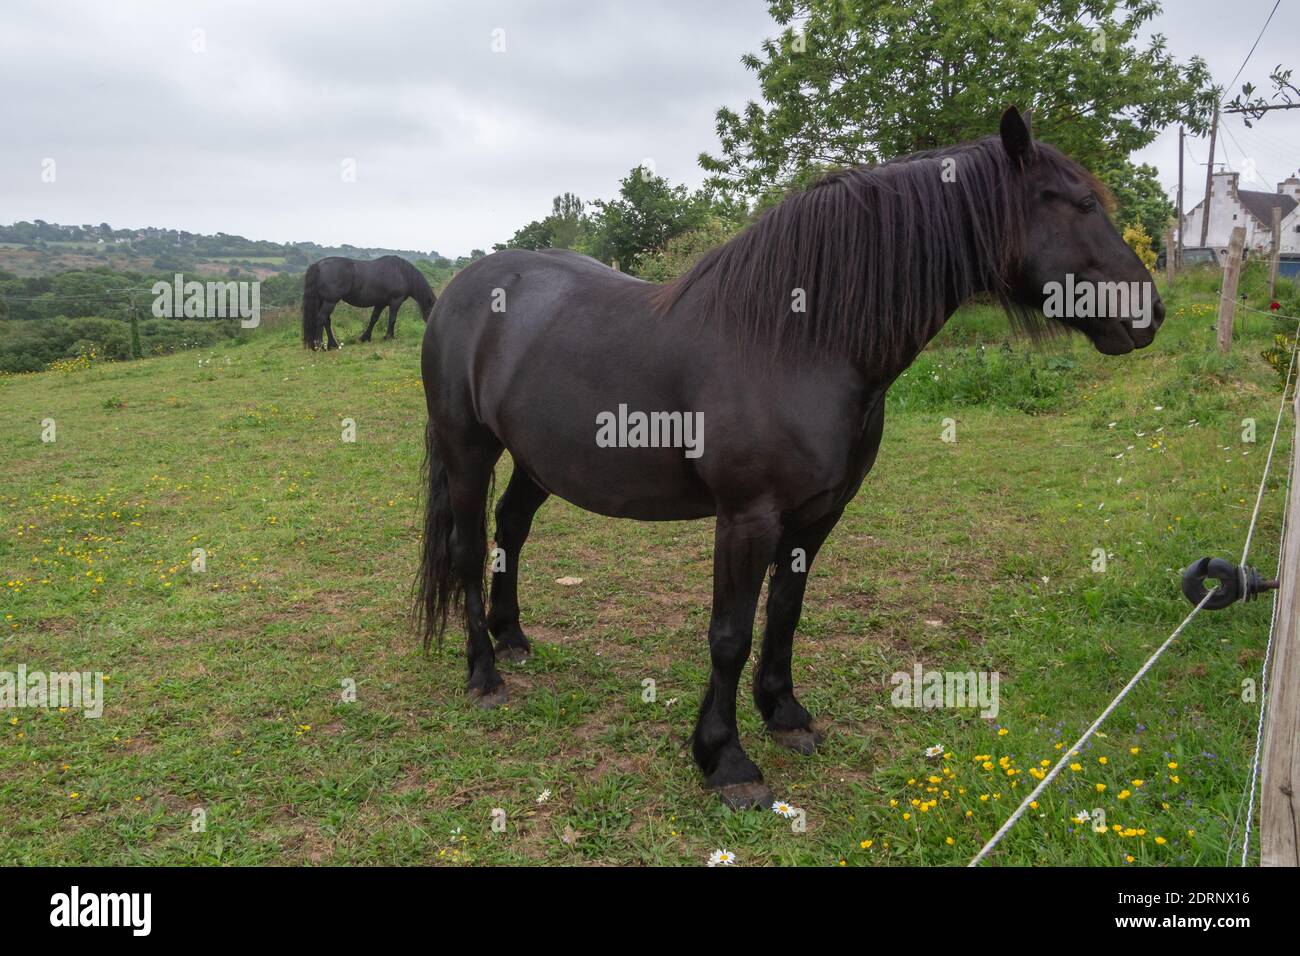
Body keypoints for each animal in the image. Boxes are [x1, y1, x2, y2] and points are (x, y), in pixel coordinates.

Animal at [302, 255, 436, 350]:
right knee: (321, 318)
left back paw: (333, 345)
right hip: (330, 301)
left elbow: (373, 319)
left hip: (324, 301)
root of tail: (318, 265)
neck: (402, 273)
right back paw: (319, 345)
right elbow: (392, 319)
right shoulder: (395, 302)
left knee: (326, 321)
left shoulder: (380, 304)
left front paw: (365, 338)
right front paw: (389, 337)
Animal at [414, 108, 1165, 809]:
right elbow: (729, 633)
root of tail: (463, 288)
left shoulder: (818, 515)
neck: (800, 341)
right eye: (1079, 203)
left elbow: (784, 613)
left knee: (512, 530)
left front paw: (785, 714)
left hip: (536, 461)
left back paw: (513, 637)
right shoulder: (747, 518)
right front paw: (726, 761)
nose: (1149, 313)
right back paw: (484, 674)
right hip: (467, 451)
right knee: (466, 549)